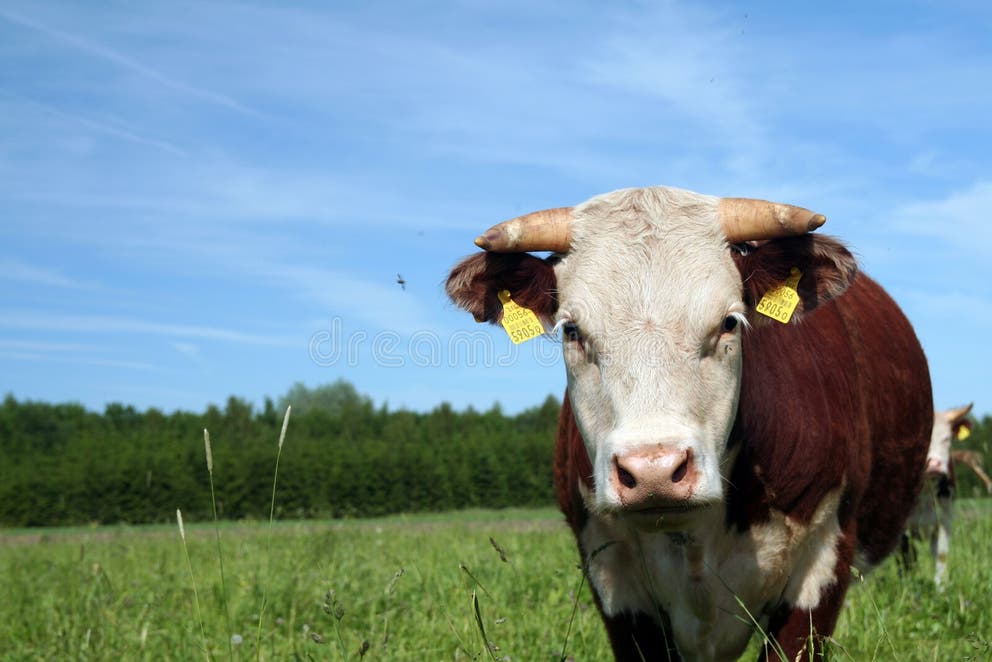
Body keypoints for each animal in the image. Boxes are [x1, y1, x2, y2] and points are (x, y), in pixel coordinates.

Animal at [902, 403, 987, 587]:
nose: (934, 464)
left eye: (947, 439)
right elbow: (907, 558)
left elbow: (941, 554)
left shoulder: (944, 519)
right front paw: (907, 585)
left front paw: (941, 587)